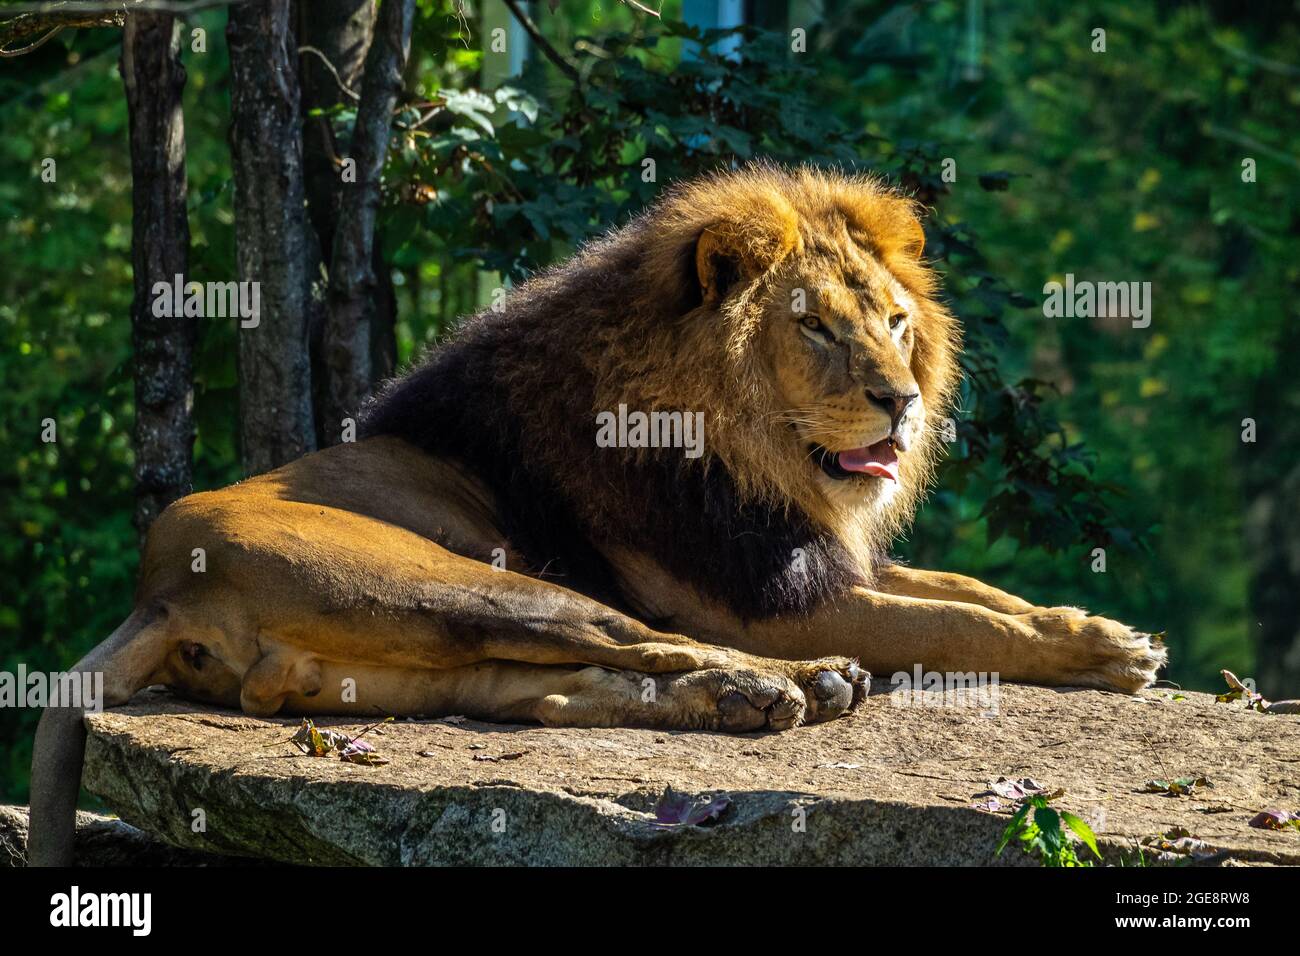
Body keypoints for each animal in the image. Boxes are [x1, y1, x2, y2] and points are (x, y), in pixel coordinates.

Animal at [29, 164, 1165, 865]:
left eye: (893, 320)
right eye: (814, 328)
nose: (902, 399)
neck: (746, 451)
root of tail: (160, 587)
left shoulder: (805, 552)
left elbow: (977, 591)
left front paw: (1103, 630)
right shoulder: (760, 599)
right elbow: (957, 622)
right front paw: (1103, 651)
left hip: (416, 660)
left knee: (555, 694)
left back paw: (750, 703)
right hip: (483, 583)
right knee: (645, 644)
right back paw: (796, 686)